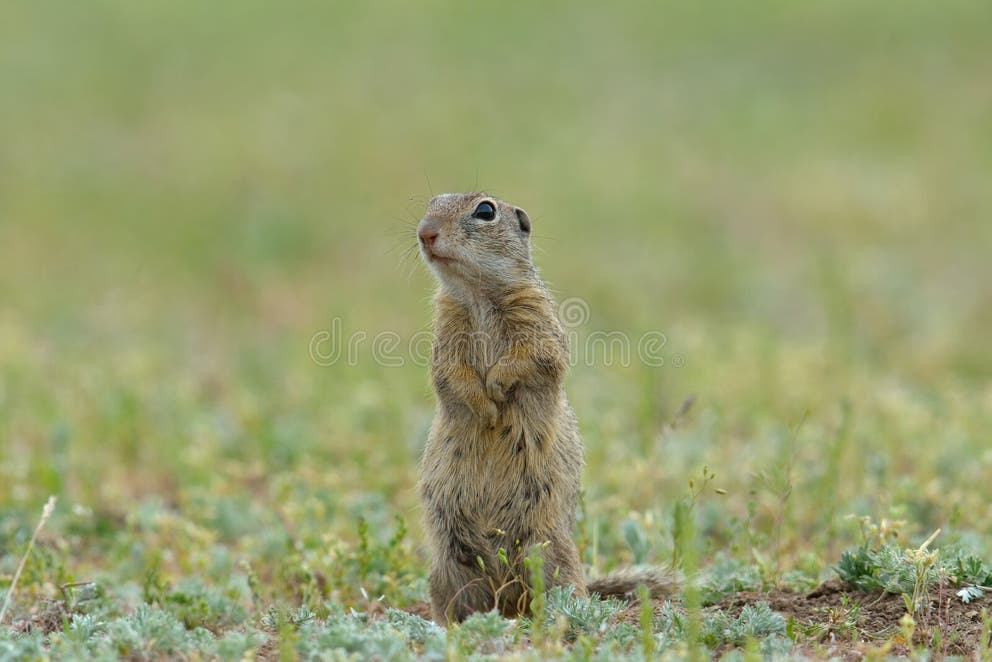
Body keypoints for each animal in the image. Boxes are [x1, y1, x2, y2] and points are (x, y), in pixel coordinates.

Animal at [416, 192, 673, 625]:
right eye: (432, 202)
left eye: (485, 211)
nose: (425, 232)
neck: (476, 294)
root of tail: (506, 599)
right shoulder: (447, 325)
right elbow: (449, 373)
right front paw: (485, 406)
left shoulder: (536, 315)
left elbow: (535, 357)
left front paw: (496, 389)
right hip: (448, 561)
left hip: (549, 553)